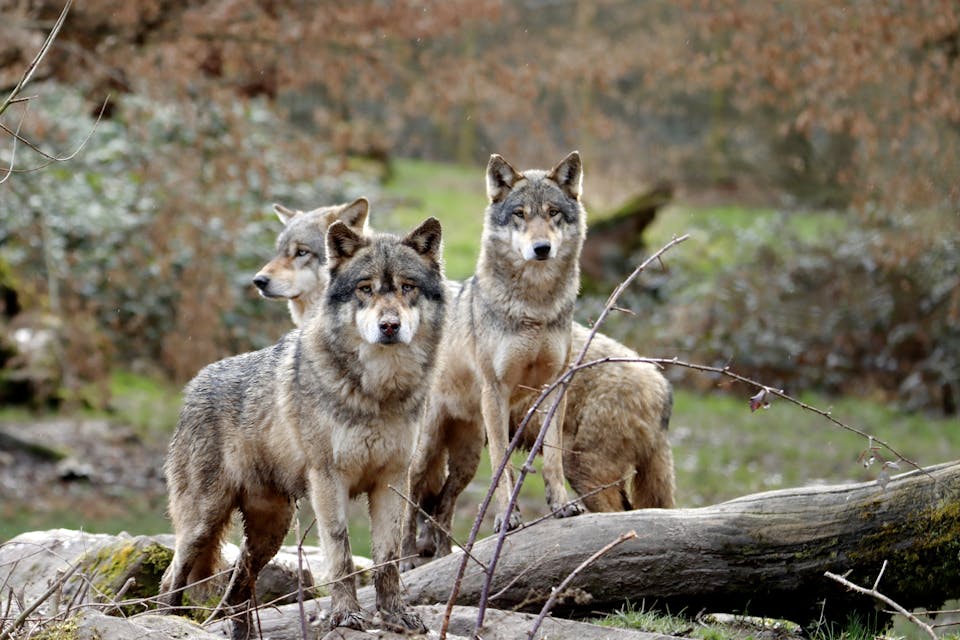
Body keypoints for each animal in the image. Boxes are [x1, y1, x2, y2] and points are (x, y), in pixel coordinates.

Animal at [159, 218, 445, 639]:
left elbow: (388, 559)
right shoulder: (328, 480)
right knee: (172, 579)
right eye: (365, 289)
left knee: (237, 589)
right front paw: (346, 615)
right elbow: (341, 555)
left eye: (407, 287)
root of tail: (193, 385)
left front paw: (395, 616)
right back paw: (166, 620)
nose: (389, 326)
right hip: (202, 523)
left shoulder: (392, 480)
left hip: (271, 531)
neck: (377, 391)